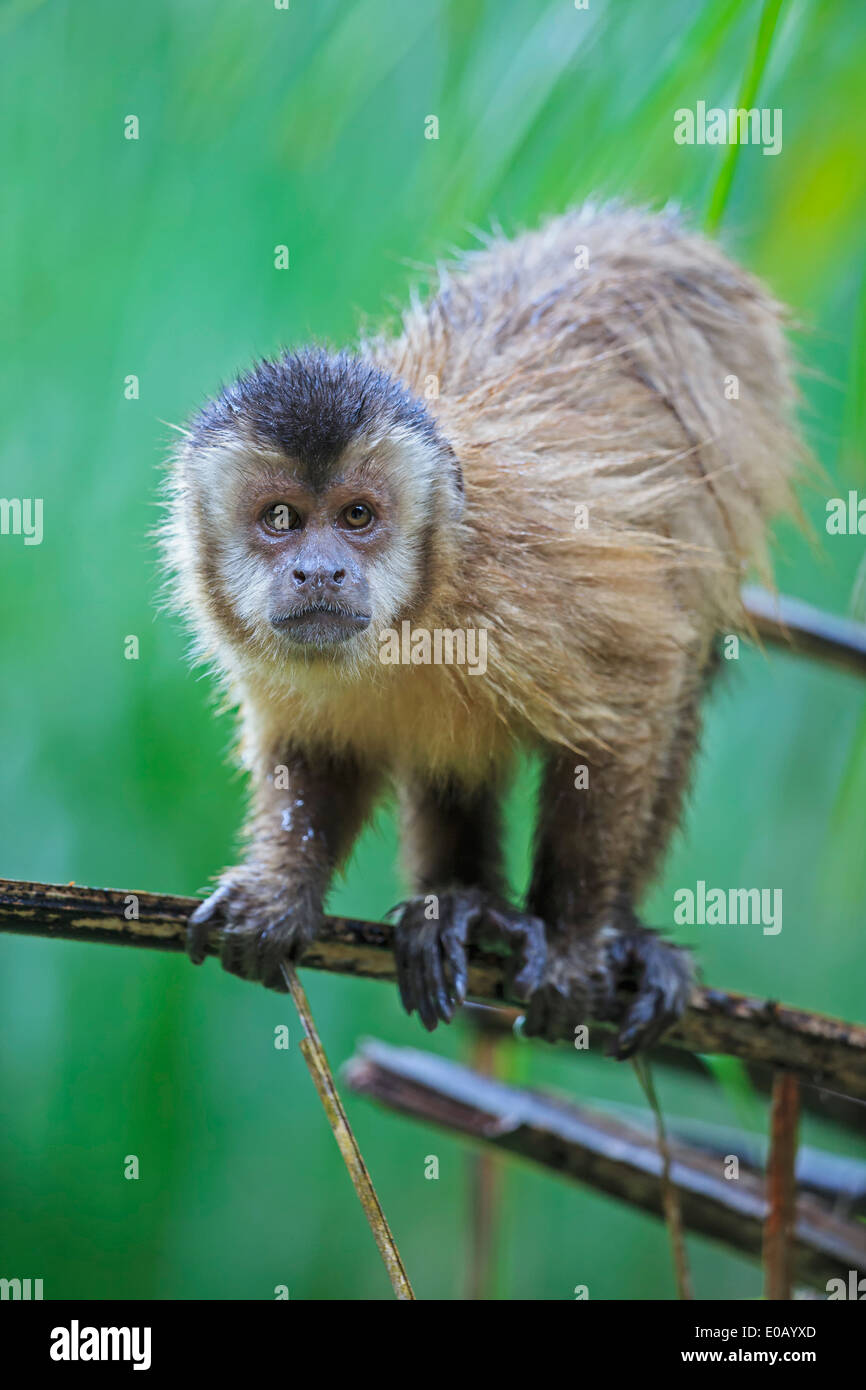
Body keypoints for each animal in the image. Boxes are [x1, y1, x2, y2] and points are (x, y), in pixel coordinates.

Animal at [163, 202, 802, 1056]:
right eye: (281, 520)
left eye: (357, 516)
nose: (320, 572)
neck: (428, 606)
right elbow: (319, 751)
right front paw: (281, 890)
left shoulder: (529, 583)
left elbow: (632, 705)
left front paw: (573, 945)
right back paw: (459, 906)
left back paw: (618, 936)